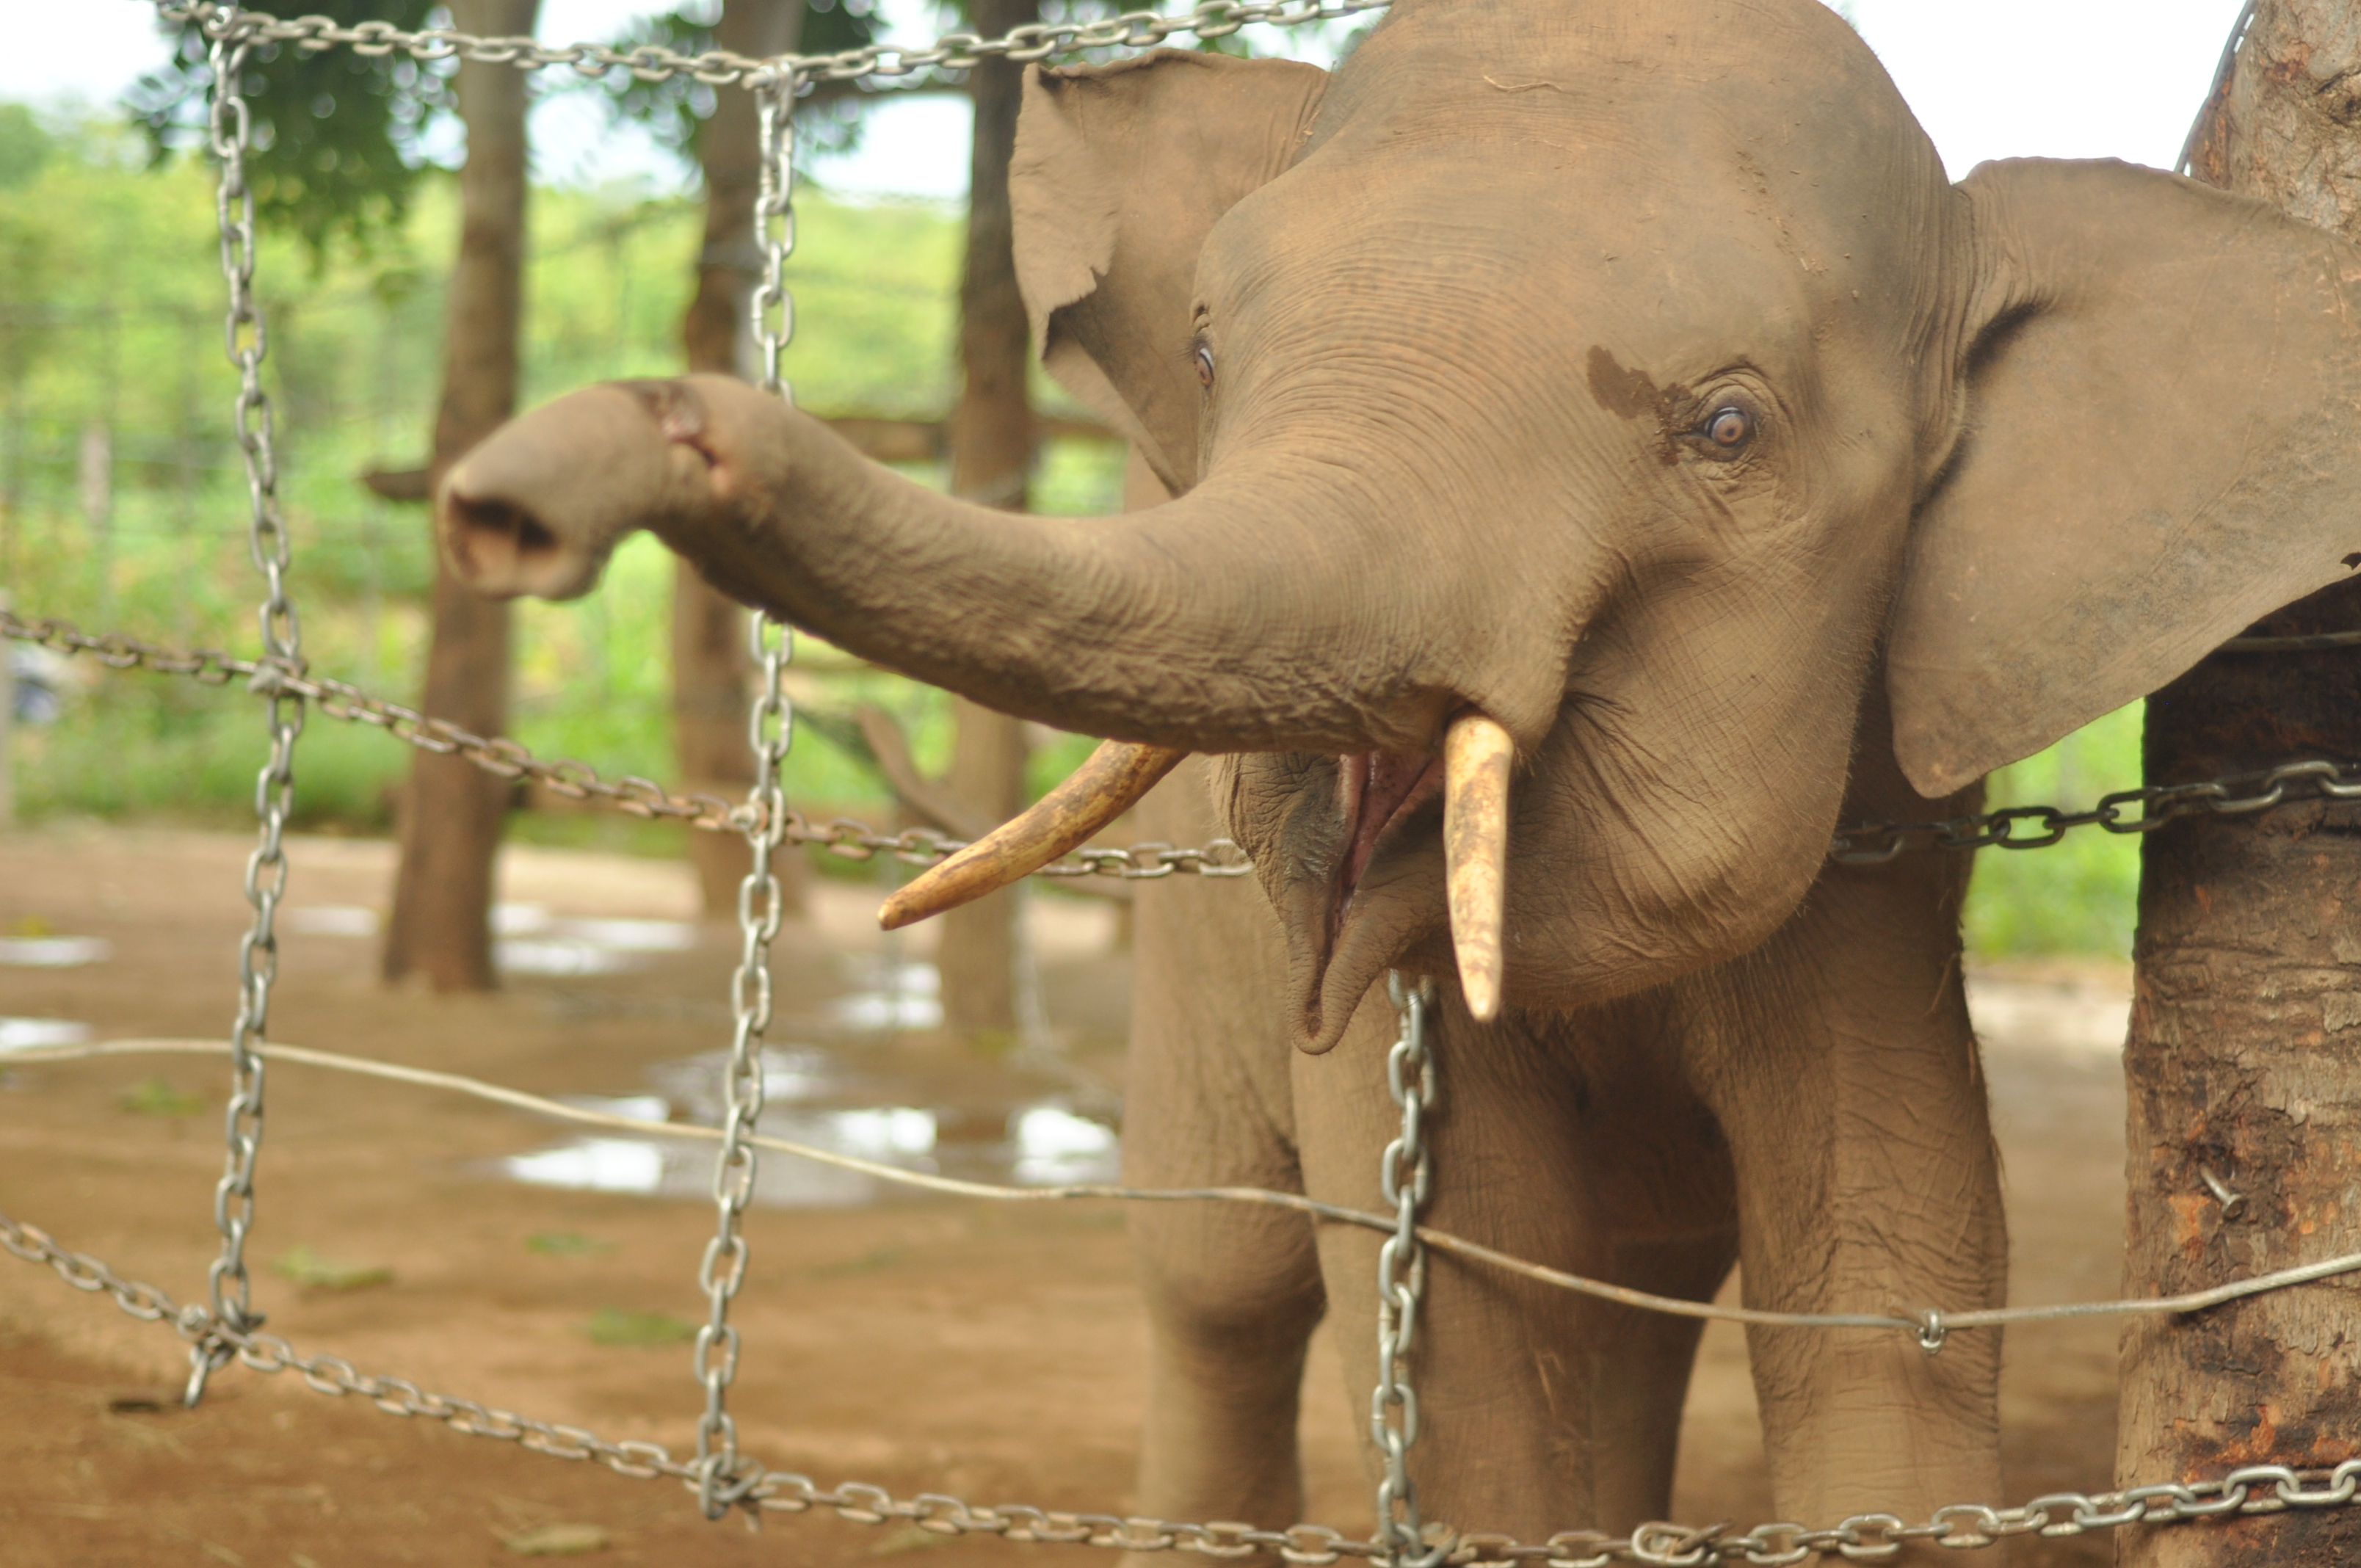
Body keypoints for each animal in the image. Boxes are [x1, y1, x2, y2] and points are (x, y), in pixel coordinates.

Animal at [433, 0, 2361, 1548]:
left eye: (1727, 430)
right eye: (1208, 349)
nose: (505, 505)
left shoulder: (1878, 853)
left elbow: (1888, 1275)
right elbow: (1464, 1294)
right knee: (1219, 1284)